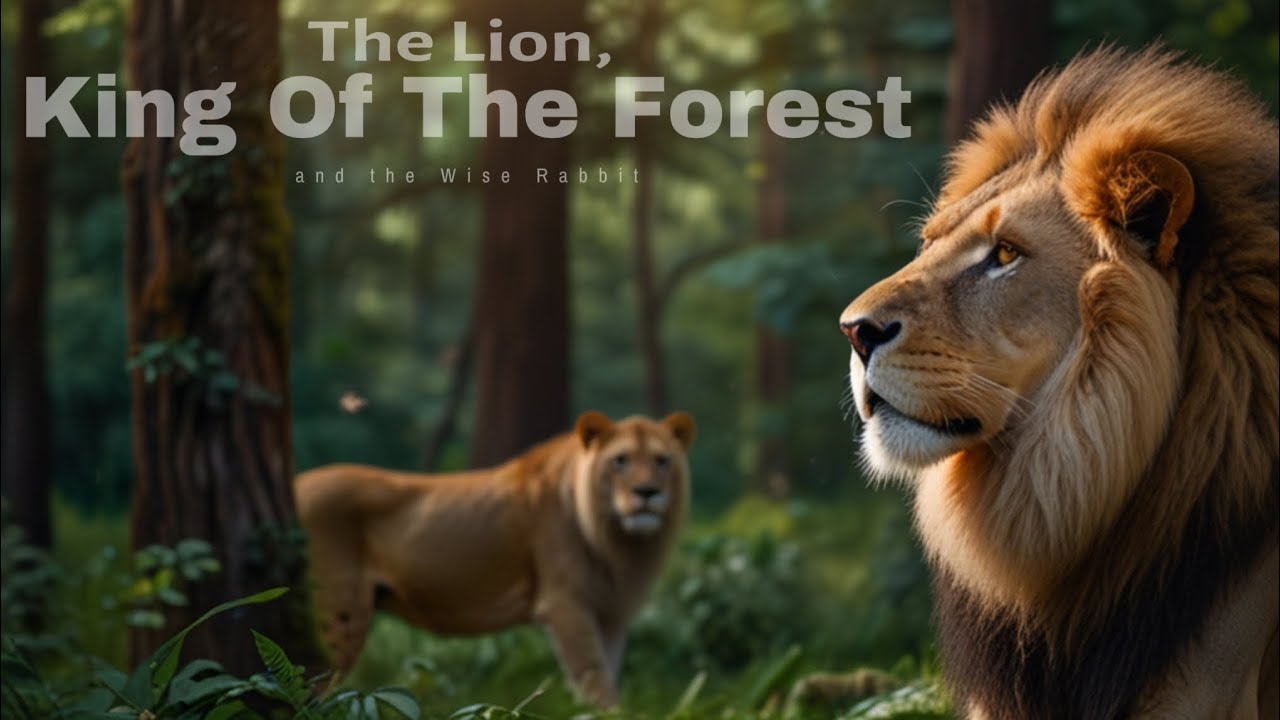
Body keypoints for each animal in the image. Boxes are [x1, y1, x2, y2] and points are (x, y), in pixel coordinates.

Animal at [294, 410, 696, 708]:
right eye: (620, 461)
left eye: (662, 460)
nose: (647, 492)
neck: (621, 542)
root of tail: (295, 482)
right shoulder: (564, 604)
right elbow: (595, 682)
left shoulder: (611, 613)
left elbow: (608, 674)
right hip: (337, 615)